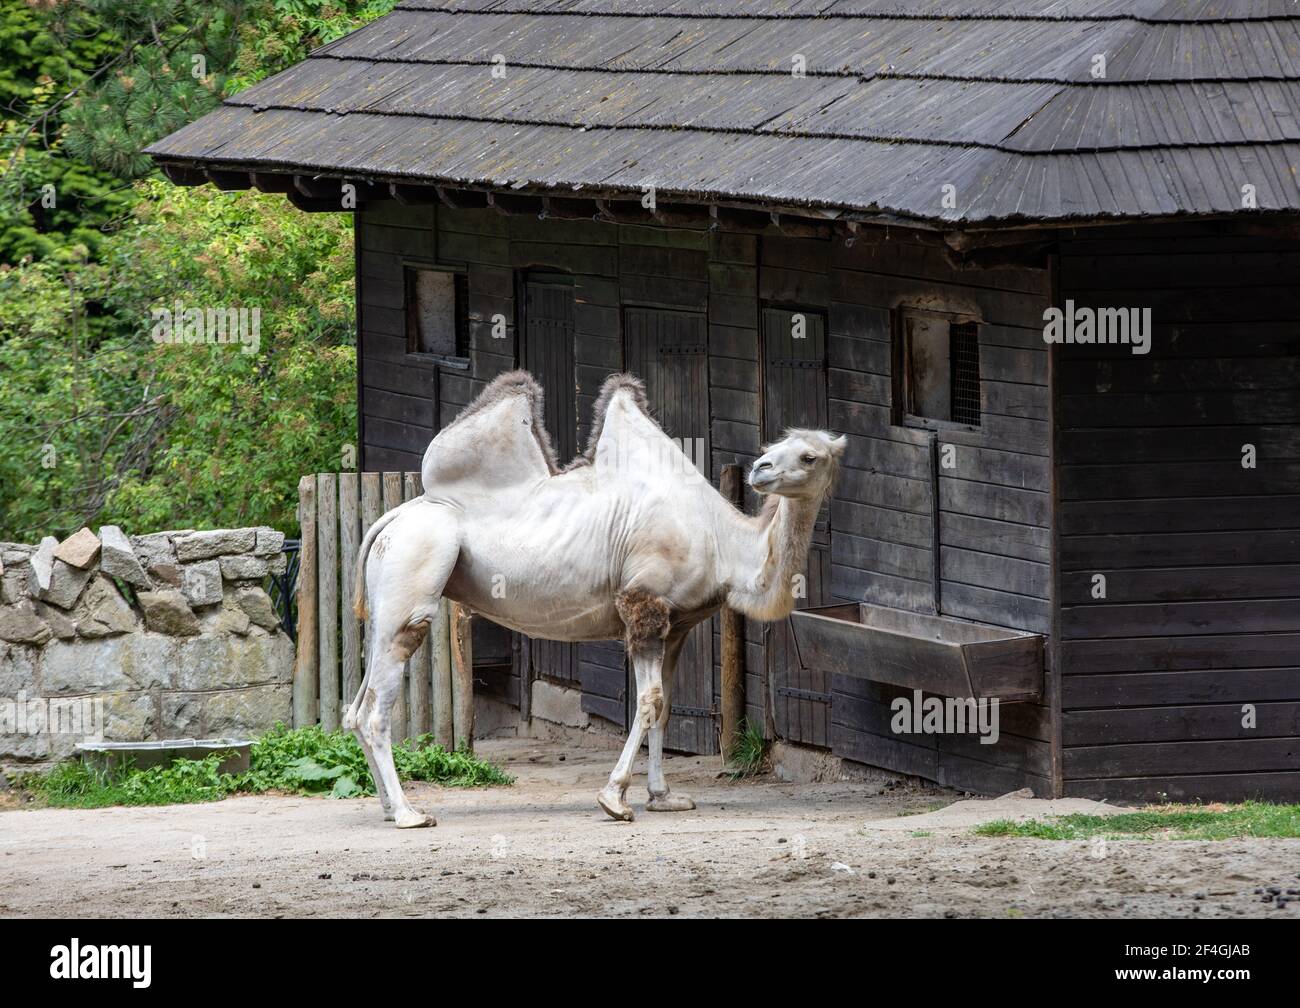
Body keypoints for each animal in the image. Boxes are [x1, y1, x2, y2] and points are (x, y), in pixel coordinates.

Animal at [345, 370, 845, 827]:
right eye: (779, 447)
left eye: (808, 454)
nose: (761, 469)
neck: (722, 543)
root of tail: (394, 515)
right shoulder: (643, 605)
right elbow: (647, 703)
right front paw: (615, 798)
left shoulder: (677, 623)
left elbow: (665, 705)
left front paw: (664, 797)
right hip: (417, 568)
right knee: (375, 709)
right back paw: (409, 813)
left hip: (385, 602)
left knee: (356, 708)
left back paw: (388, 808)